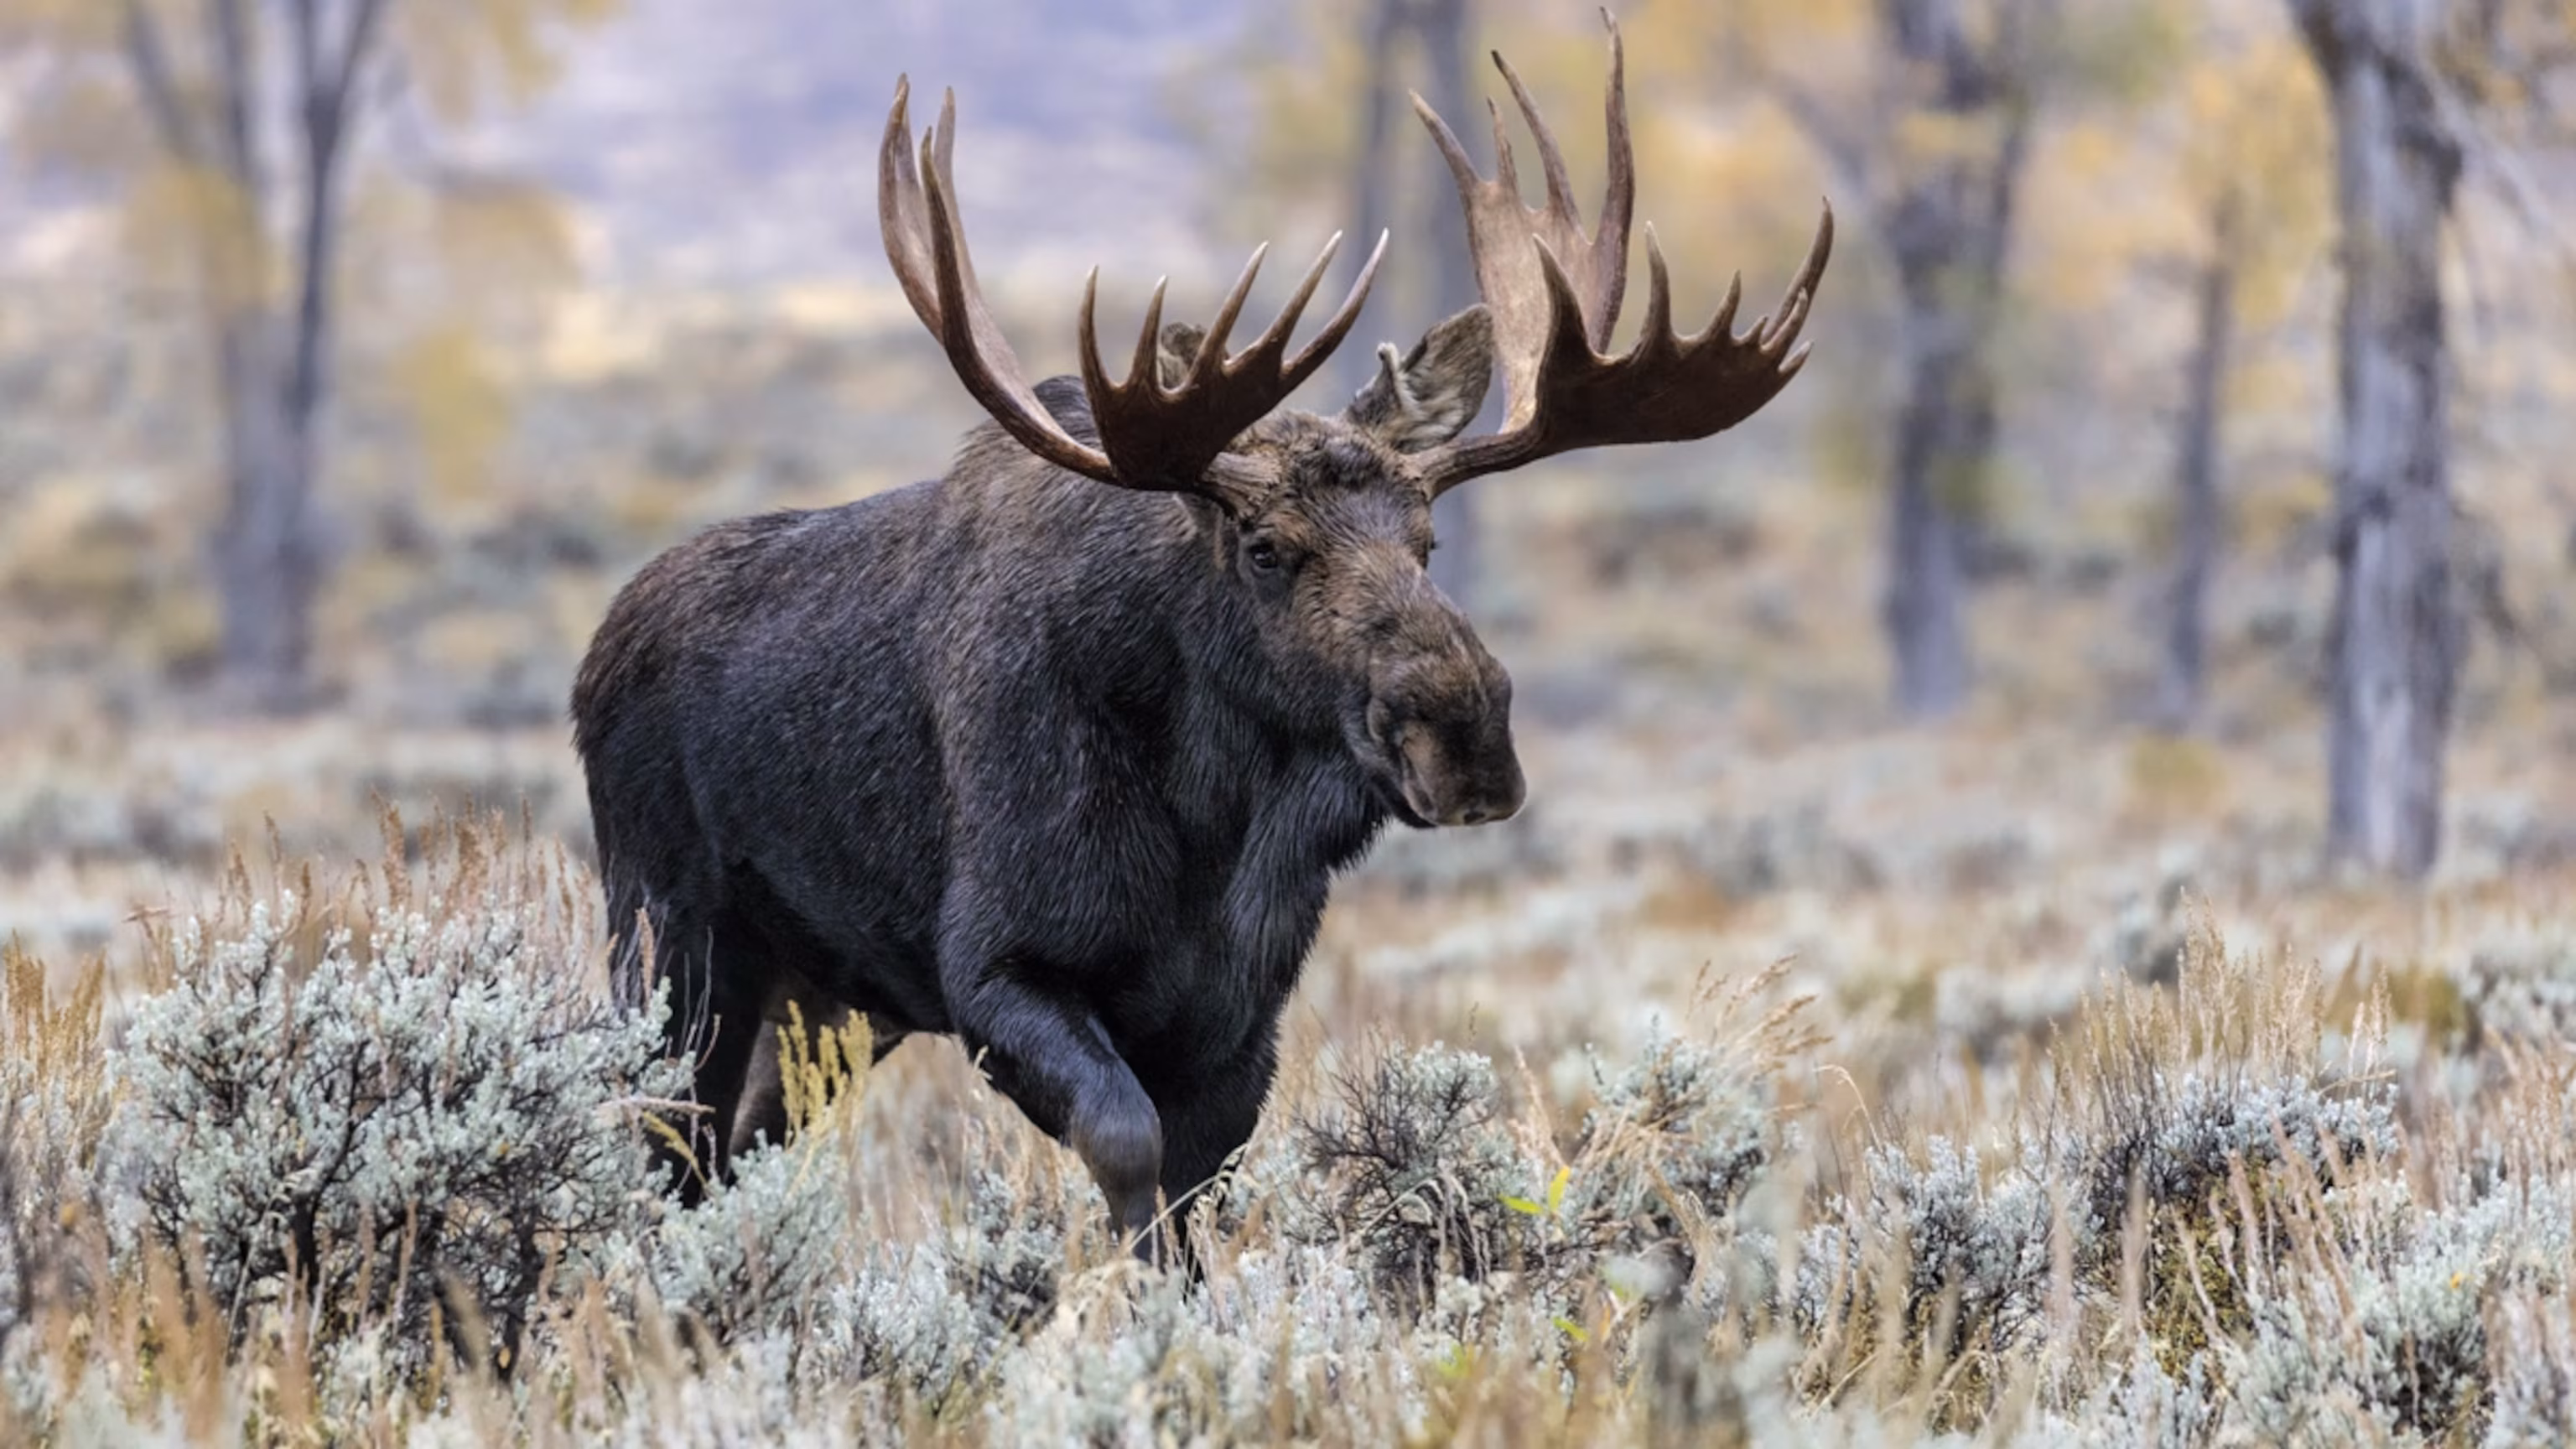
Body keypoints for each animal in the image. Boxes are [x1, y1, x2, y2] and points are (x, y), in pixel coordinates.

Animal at [571, 12, 1829, 1261]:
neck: (1212, 830)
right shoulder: (993, 964)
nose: (1466, 738)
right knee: (664, 1143)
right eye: (1266, 547)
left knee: (729, 1150)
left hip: (826, 1001)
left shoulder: (1238, 1016)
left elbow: (1195, 1190)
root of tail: (595, 656)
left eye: (1428, 539)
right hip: (674, 939)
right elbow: (1128, 1153)